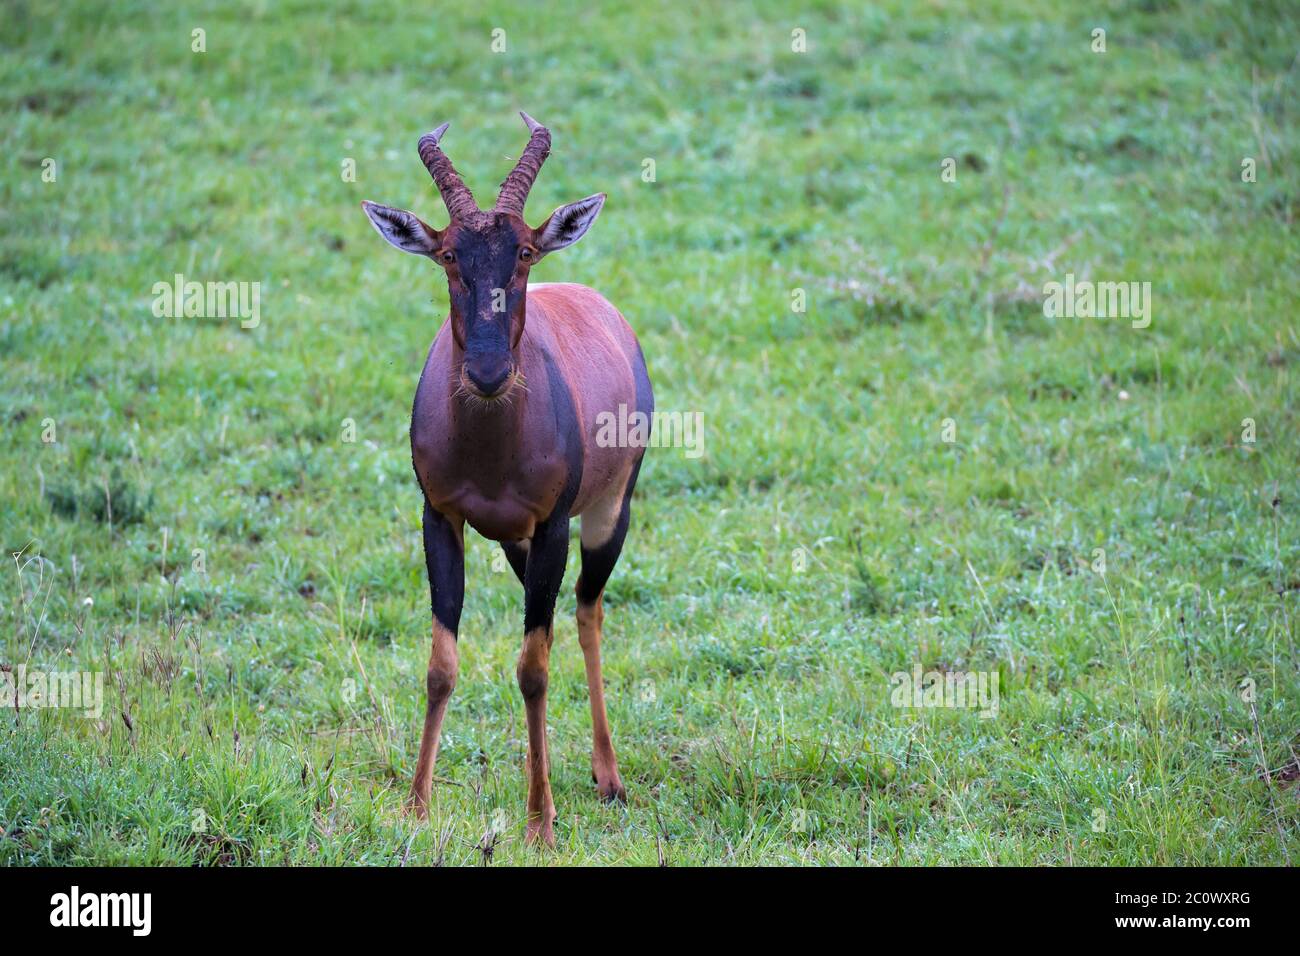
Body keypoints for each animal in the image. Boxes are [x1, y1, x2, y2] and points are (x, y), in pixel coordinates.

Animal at [361, 113, 652, 845]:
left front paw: (540, 822)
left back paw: (608, 777)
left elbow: (533, 670)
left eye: (523, 251)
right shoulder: (440, 519)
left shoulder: (552, 529)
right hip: (514, 543)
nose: (488, 374)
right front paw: (416, 808)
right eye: (447, 255)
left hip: (605, 516)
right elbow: (441, 665)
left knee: (586, 611)